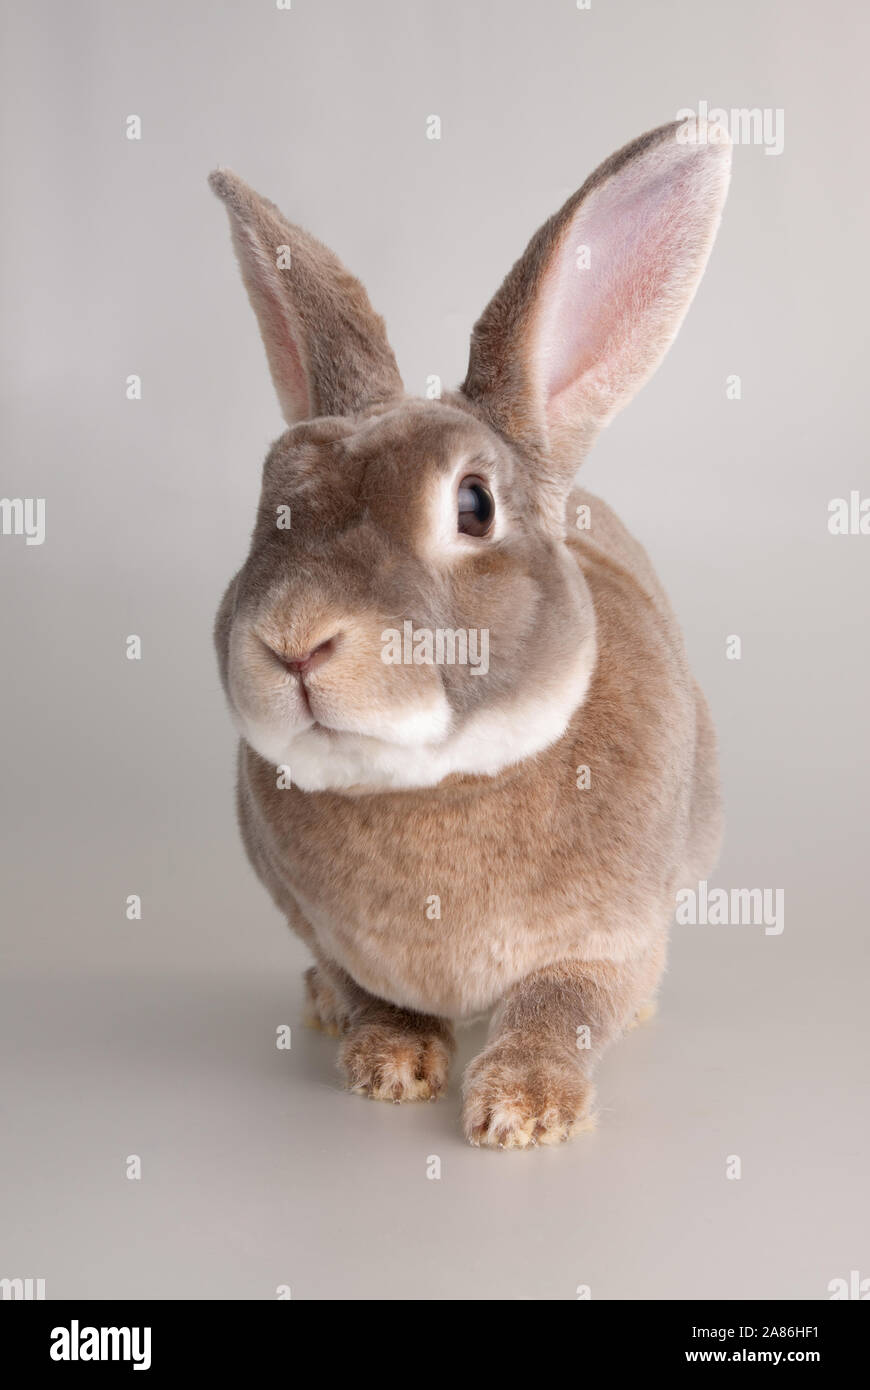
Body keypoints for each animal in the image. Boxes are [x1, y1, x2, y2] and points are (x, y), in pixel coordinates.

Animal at [209, 118, 731, 1149]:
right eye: (270, 501)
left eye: (474, 505)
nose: (293, 639)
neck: (431, 782)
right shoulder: (322, 928)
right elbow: (370, 991)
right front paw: (387, 1064)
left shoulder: (607, 940)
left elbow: (562, 1004)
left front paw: (523, 1111)